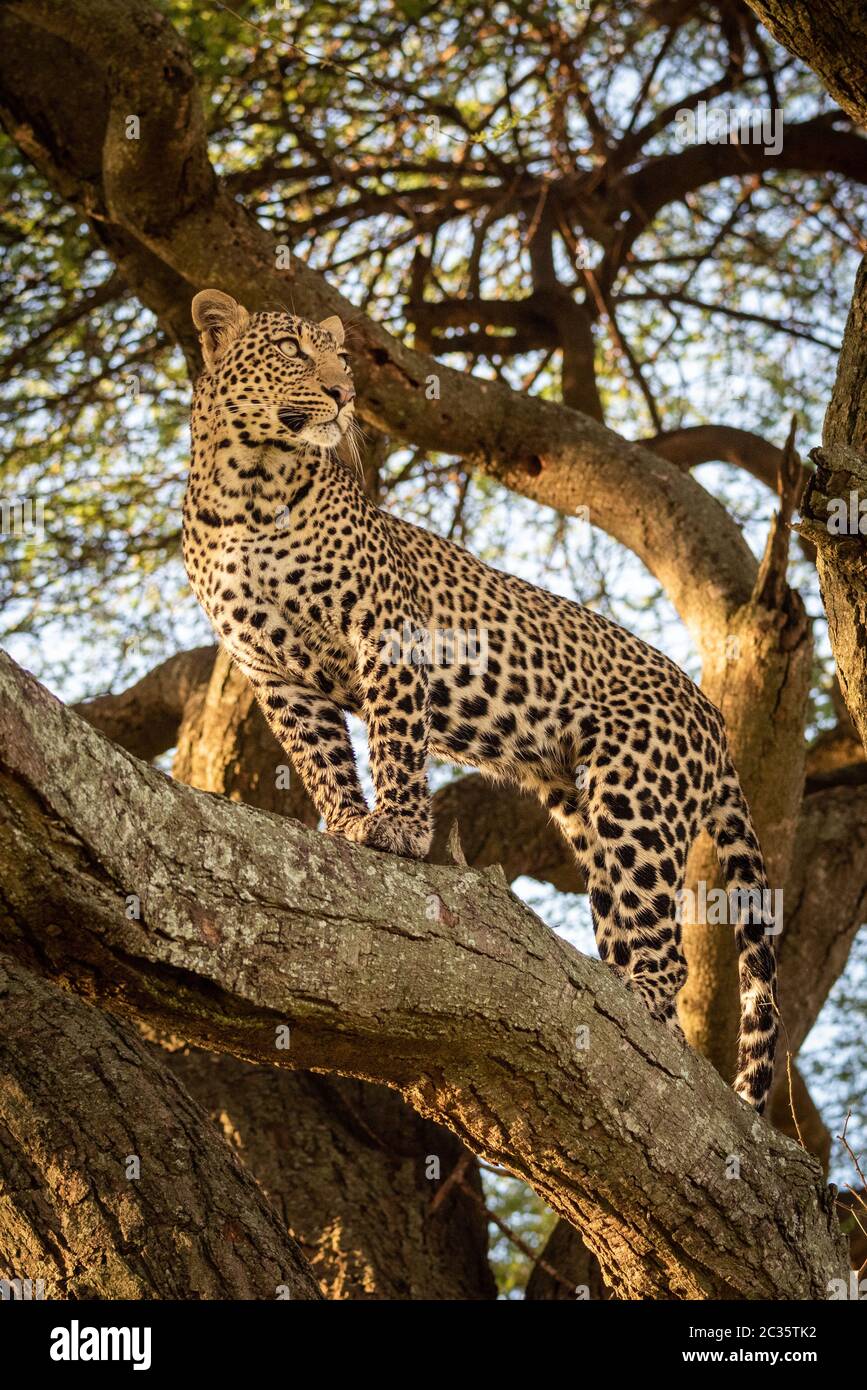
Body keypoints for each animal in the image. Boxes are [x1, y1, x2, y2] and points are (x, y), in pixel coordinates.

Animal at [183, 288, 779, 1112]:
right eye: (292, 351)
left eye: (340, 357)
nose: (344, 394)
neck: (247, 486)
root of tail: (714, 721)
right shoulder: (273, 673)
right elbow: (322, 758)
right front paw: (346, 824)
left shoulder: (387, 629)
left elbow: (395, 738)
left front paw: (400, 829)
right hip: (586, 811)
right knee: (626, 915)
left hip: (635, 797)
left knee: (667, 952)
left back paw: (634, 998)